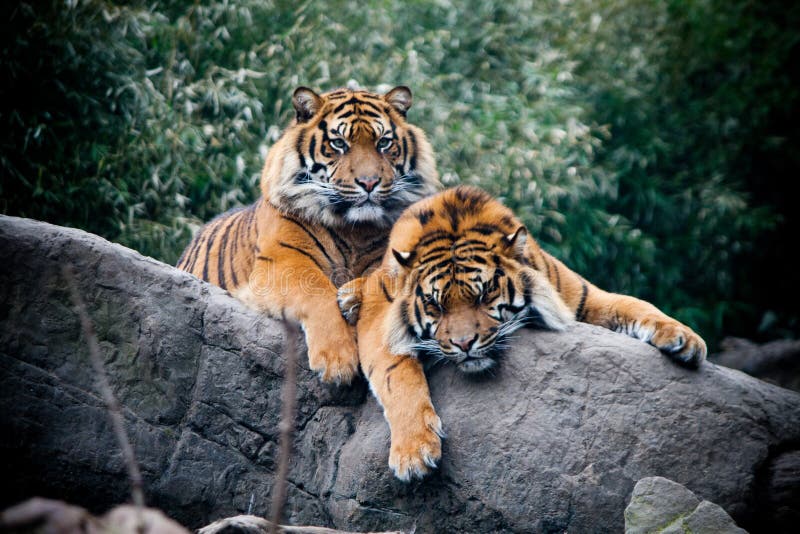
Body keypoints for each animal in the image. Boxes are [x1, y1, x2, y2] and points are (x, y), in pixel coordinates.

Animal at [177, 86, 440, 383]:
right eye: (339, 143)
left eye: (383, 143)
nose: (369, 182)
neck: (355, 230)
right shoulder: (283, 262)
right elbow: (317, 292)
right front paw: (337, 362)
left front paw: (352, 297)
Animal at [336, 185, 707, 481]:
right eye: (436, 305)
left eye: (484, 294)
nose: (464, 344)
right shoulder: (379, 326)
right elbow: (398, 379)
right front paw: (413, 453)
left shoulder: (584, 296)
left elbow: (635, 304)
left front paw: (685, 338)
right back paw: (349, 297)